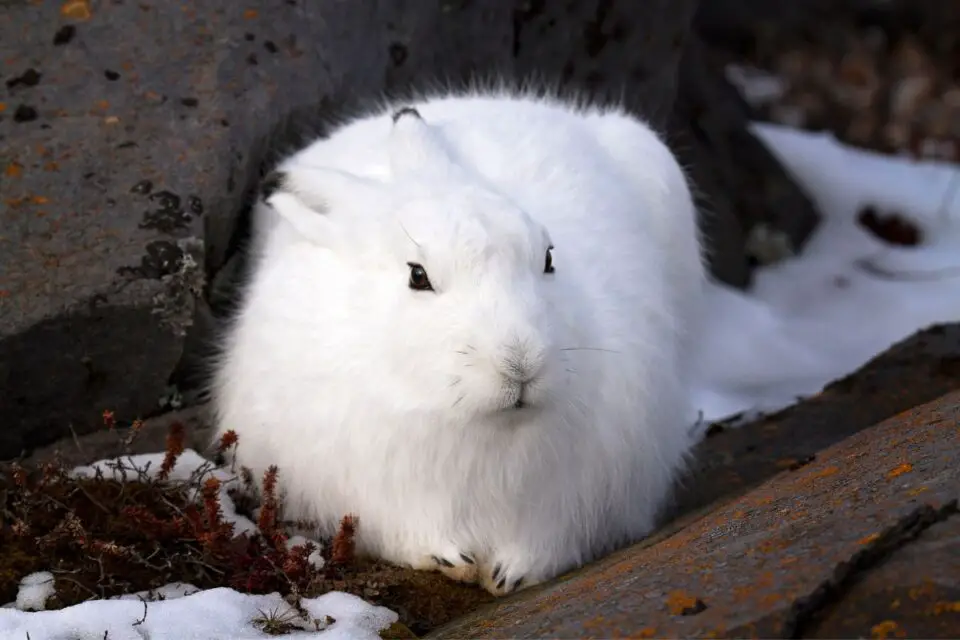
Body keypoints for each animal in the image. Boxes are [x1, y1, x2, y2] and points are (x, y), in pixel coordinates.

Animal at [211, 87, 707, 596]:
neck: (480, 421)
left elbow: (549, 541)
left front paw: (511, 572)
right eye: (417, 276)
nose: (521, 364)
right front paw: (450, 559)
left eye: (549, 258)